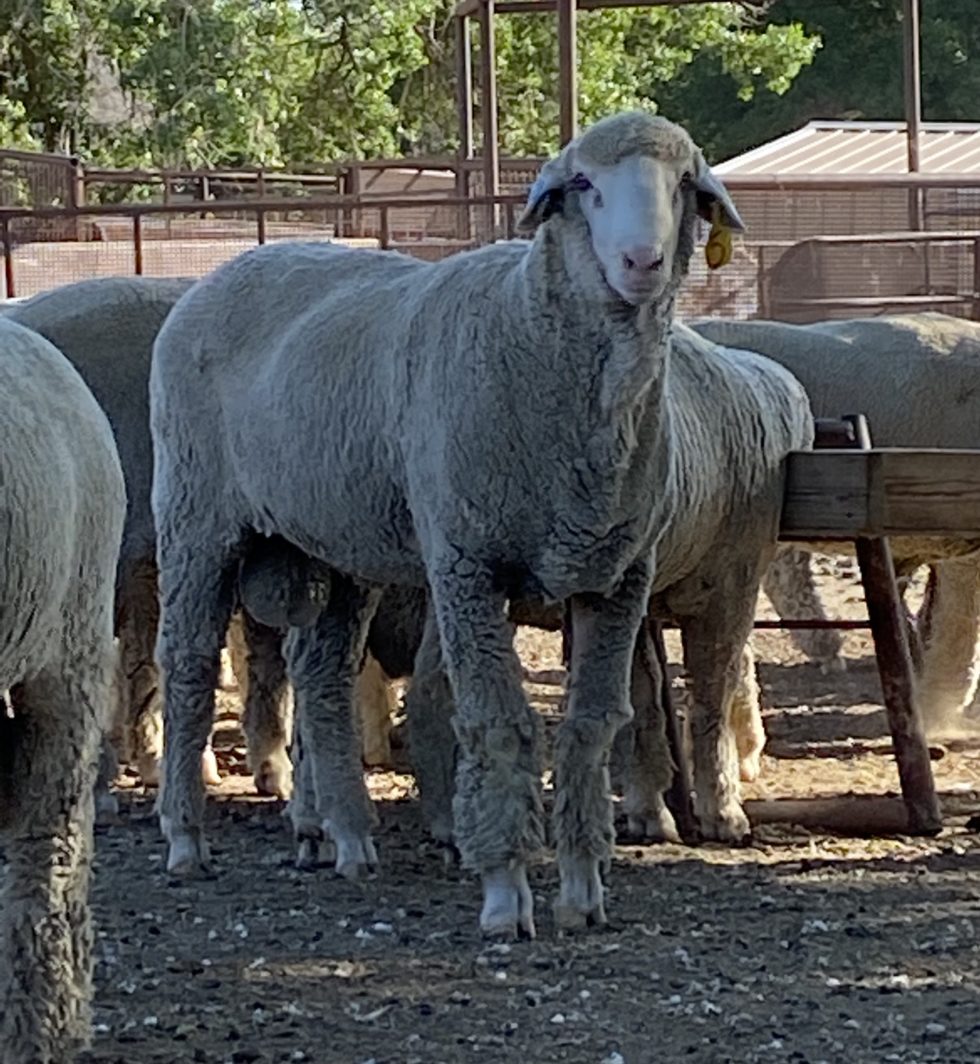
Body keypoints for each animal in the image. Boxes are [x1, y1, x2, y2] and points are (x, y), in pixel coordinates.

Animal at [149, 109, 806, 938]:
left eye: (685, 184)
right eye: (582, 183)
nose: (642, 261)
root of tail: (224, 271)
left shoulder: (617, 576)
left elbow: (592, 724)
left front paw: (583, 889)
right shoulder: (468, 563)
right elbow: (497, 721)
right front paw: (505, 895)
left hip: (338, 545)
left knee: (323, 676)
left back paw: (349, 838)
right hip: (195, 514)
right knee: (189, 664)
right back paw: (184, 837)